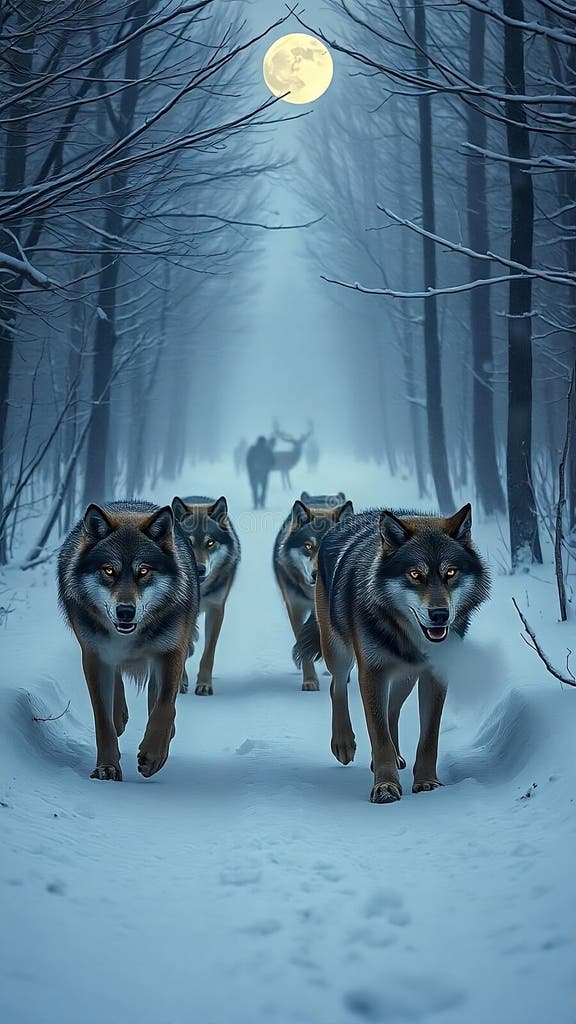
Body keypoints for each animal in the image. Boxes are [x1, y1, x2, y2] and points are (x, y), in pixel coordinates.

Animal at [58, 501, 199, 781]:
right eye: (108, 570)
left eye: (143, 570)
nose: (125, 612)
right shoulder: (94, 656)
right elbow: (103, 721)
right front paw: (107, 767)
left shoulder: (170, 652)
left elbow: (164, 706)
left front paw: (153, 756)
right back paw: (120, 716)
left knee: (156, 698)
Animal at [171, 495, 240, 696]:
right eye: (188, 541)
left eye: (210, 543)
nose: (199, 569)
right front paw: (180, 683)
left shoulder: (216, 610)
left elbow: (208, 653)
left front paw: (204, 685)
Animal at [296, 504, 490, 802]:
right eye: (415, 574)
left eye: (450, 573)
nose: (440, 615)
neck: (408, 635)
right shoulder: (372, 673)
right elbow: (379, 735)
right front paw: (386, 786)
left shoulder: (435, 675)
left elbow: (429, 736)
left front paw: (426, 782)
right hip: (339, 653)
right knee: (337, 687)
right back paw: (343, 743)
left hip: (405, 677)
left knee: (391, 710)